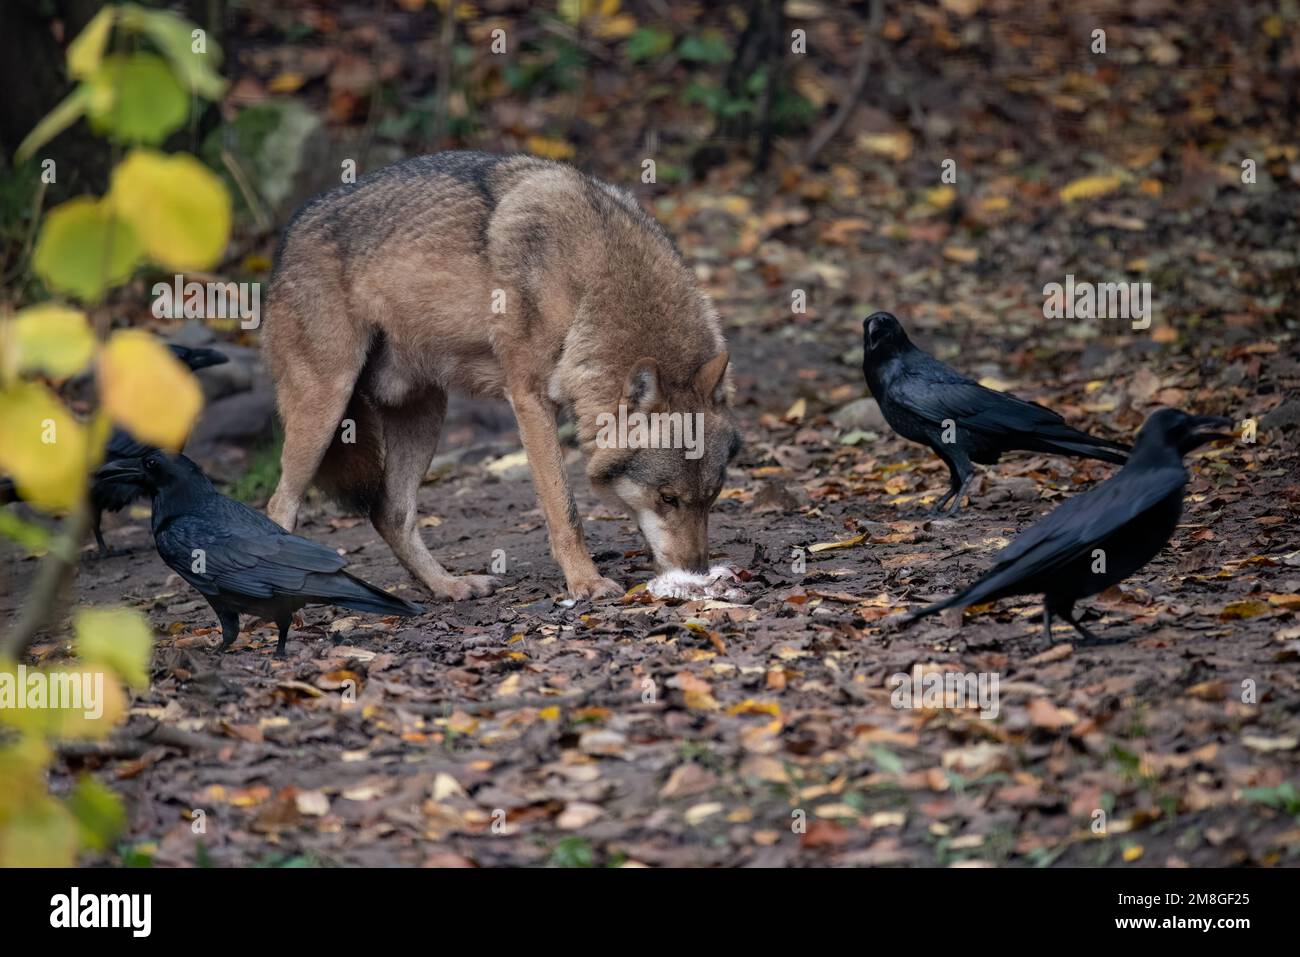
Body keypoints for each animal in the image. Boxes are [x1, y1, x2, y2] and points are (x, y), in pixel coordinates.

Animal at [263, 151, 740, 602]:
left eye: (713, 496)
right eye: (667, 498)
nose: (697, 571)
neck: (594, 280)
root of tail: (289, 234)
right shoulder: (528, 398)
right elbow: (564, 508)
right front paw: (585, 583)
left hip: (425, 411)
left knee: (390, 513)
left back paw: (449, 587)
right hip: (325, 408)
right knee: (279, 506)